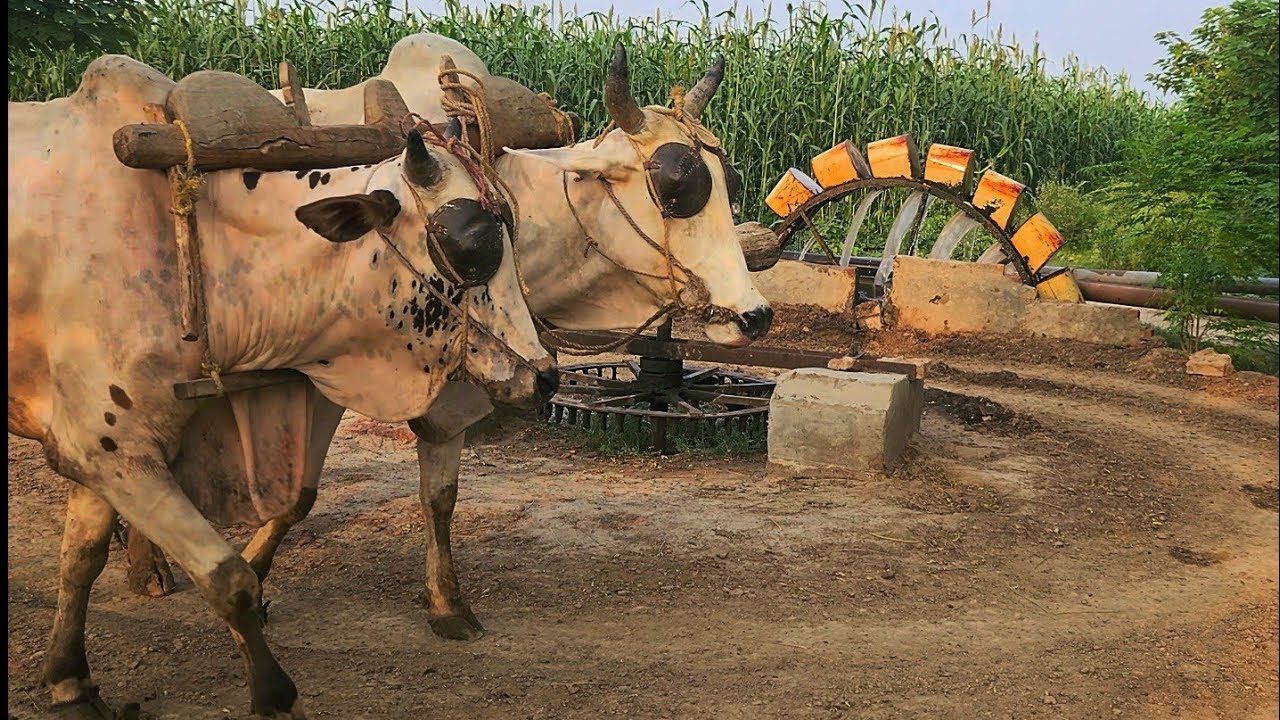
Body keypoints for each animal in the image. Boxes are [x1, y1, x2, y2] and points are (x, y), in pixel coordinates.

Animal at [8, 53, 556, 718]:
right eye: (467, 243)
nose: (544, 374)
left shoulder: (102, 447)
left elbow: (80, 559)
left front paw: (70, 679)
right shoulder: (109, 448)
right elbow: (227, 578)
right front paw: (273, 692)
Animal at [126, 34, 775, 643]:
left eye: (728, 180)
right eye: (676, 187)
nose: (754, 315)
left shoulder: (452, 395)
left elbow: (436, 497)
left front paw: (446, 604)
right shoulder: (323, 377)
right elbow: (298, 494)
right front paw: (250, 578)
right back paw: (146, 566)